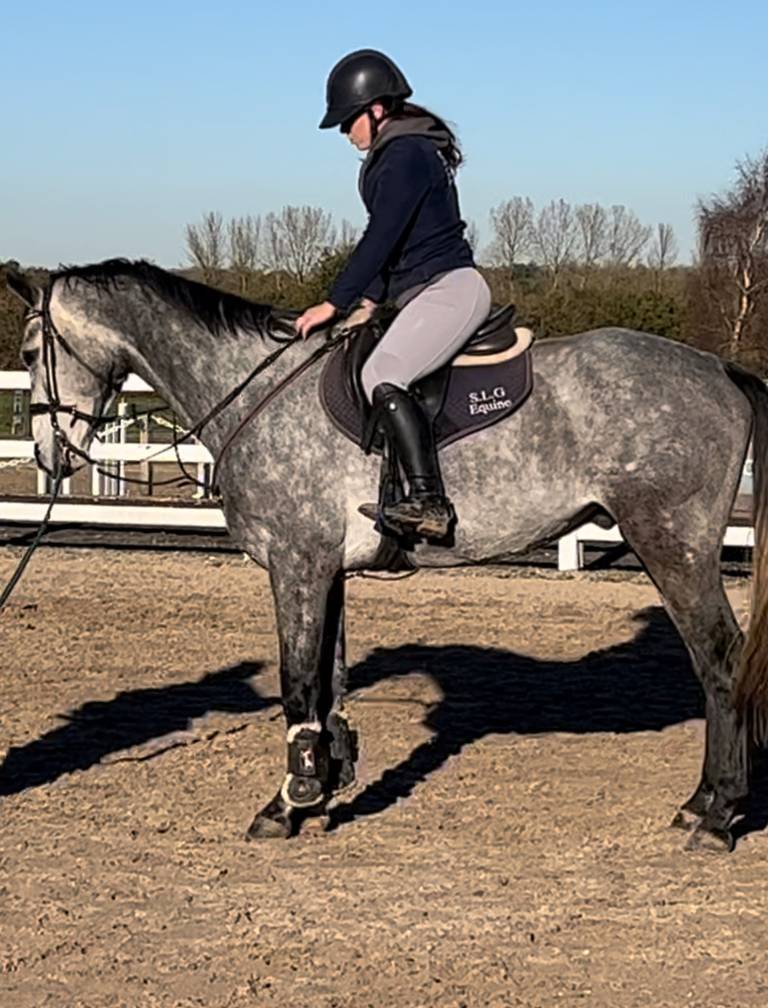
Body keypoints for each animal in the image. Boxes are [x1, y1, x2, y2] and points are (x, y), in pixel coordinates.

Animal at [7, 258, 768, 853]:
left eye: (28, 352)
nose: (49, 457)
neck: (255, 389)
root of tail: (719, 369)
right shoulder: (325, 567)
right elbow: (328, 678)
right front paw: (325, 783)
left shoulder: (296, 564)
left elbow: (298, 682)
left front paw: (288, 801)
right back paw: (703, 805)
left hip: (671, 544)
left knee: (720, 662)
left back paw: (718, 813)